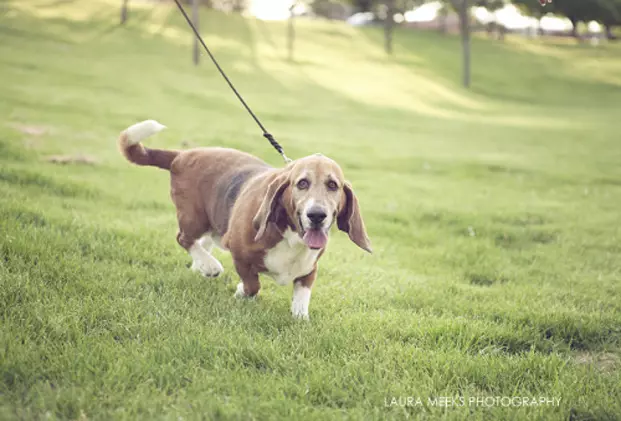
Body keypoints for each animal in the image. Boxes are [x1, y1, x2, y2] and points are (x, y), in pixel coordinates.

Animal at [118, 120, 370, 318]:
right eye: (302, 183)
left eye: (332, 185)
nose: (317, 215)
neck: (291, 237)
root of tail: (182, 155)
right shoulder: (239, 255)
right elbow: (253, 285)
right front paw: (240, 291)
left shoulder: (309, 269)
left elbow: (302, 297)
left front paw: (301, 317)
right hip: (194, 218)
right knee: (184, 238)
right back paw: (210, 266)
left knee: (201, 242)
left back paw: (201, 265)